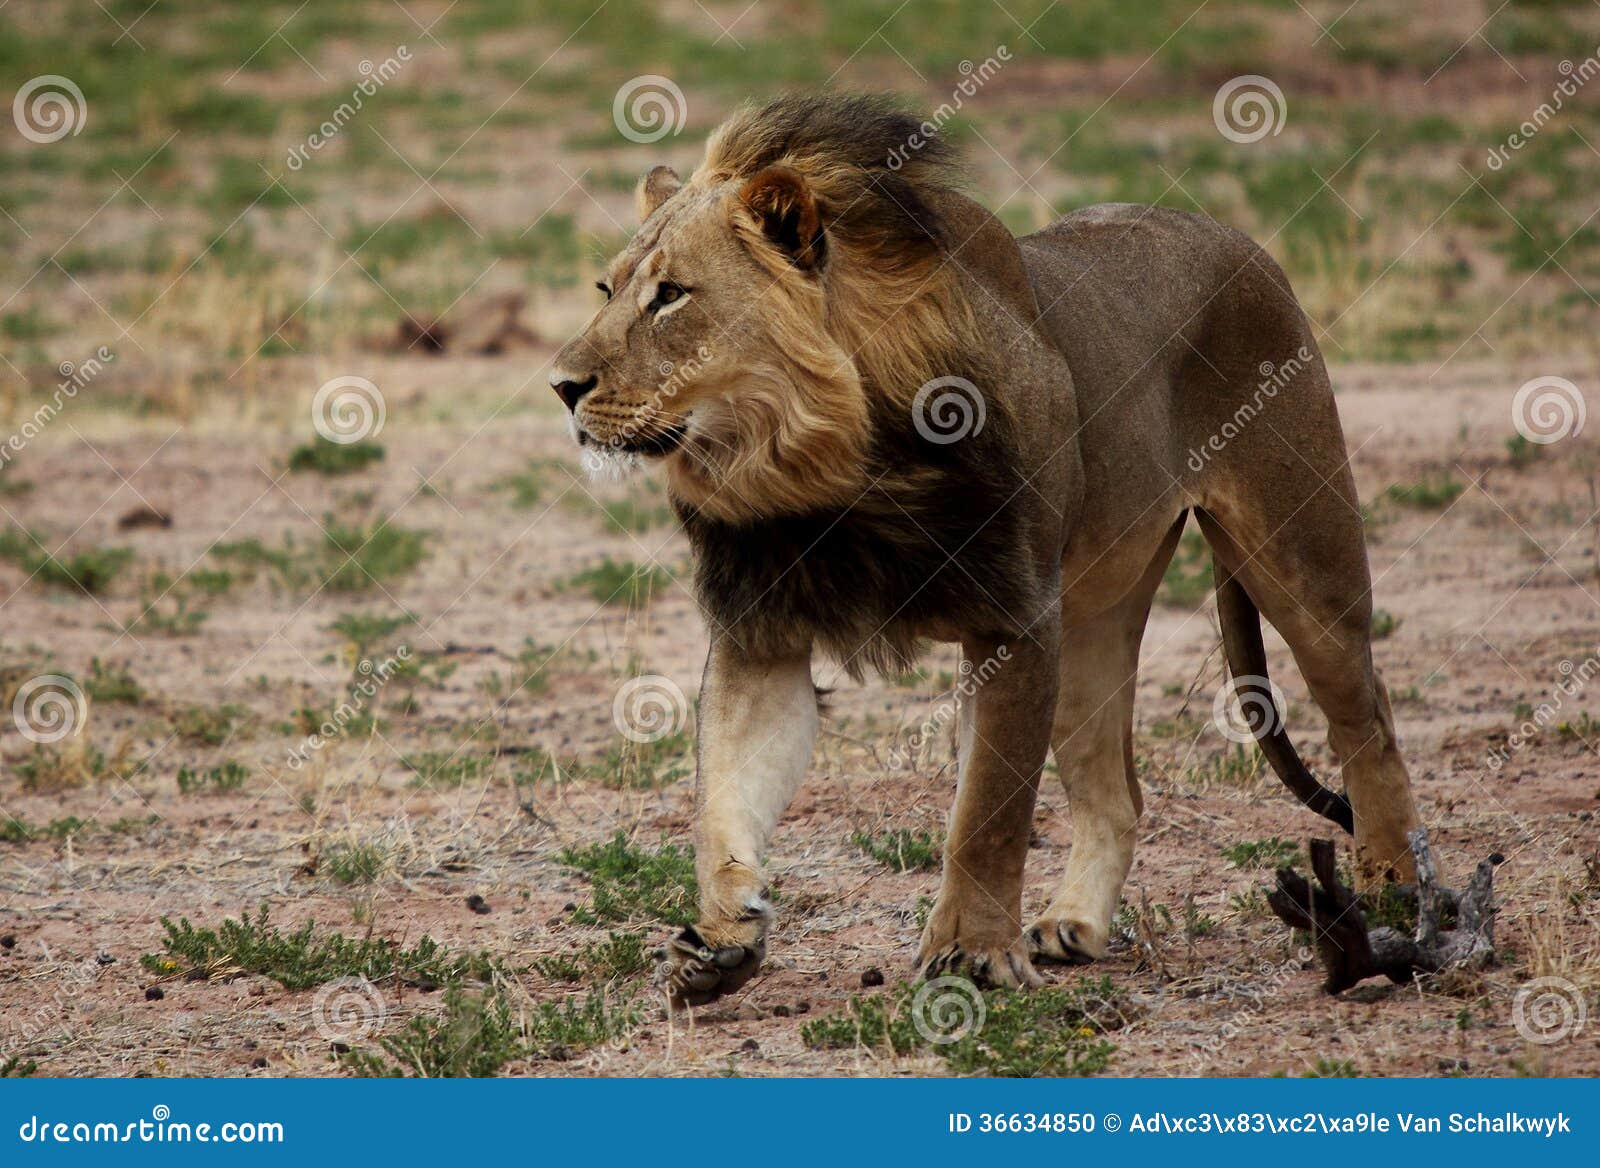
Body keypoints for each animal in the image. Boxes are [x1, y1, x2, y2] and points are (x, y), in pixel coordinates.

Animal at [549, 93, 1422, 1007]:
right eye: (607, 289)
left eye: (671, 297)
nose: (561, 386)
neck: (816, 463)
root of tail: (1237, 239)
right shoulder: (761, 635)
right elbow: (722, 798)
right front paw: (724, 936)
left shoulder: (1014, 621)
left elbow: (988, 813)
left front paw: (971, 953)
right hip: (1092, 622)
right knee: (1118, 791)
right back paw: (1075, 926)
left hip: (1302, 561)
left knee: (1370, 726)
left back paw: (1391, 895)